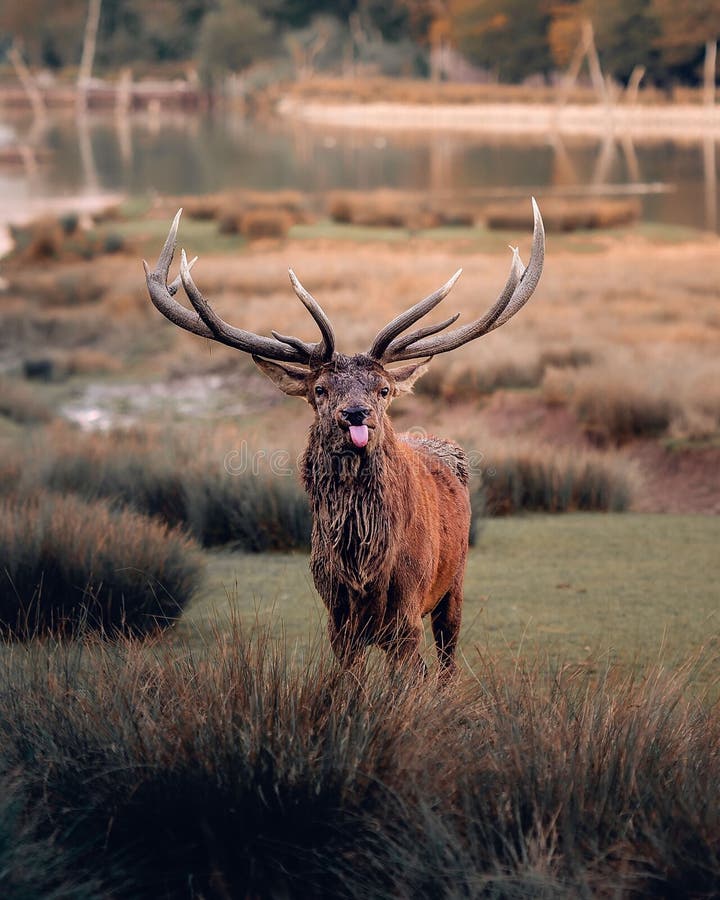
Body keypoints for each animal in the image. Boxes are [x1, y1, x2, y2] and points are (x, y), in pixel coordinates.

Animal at [144, 200, 544, 678]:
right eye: (320, 389)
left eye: (383, 389)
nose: (356, 414)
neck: (362, 566)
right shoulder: (336, 618)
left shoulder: (407, 613)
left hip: (455, 582)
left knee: (446, 661)